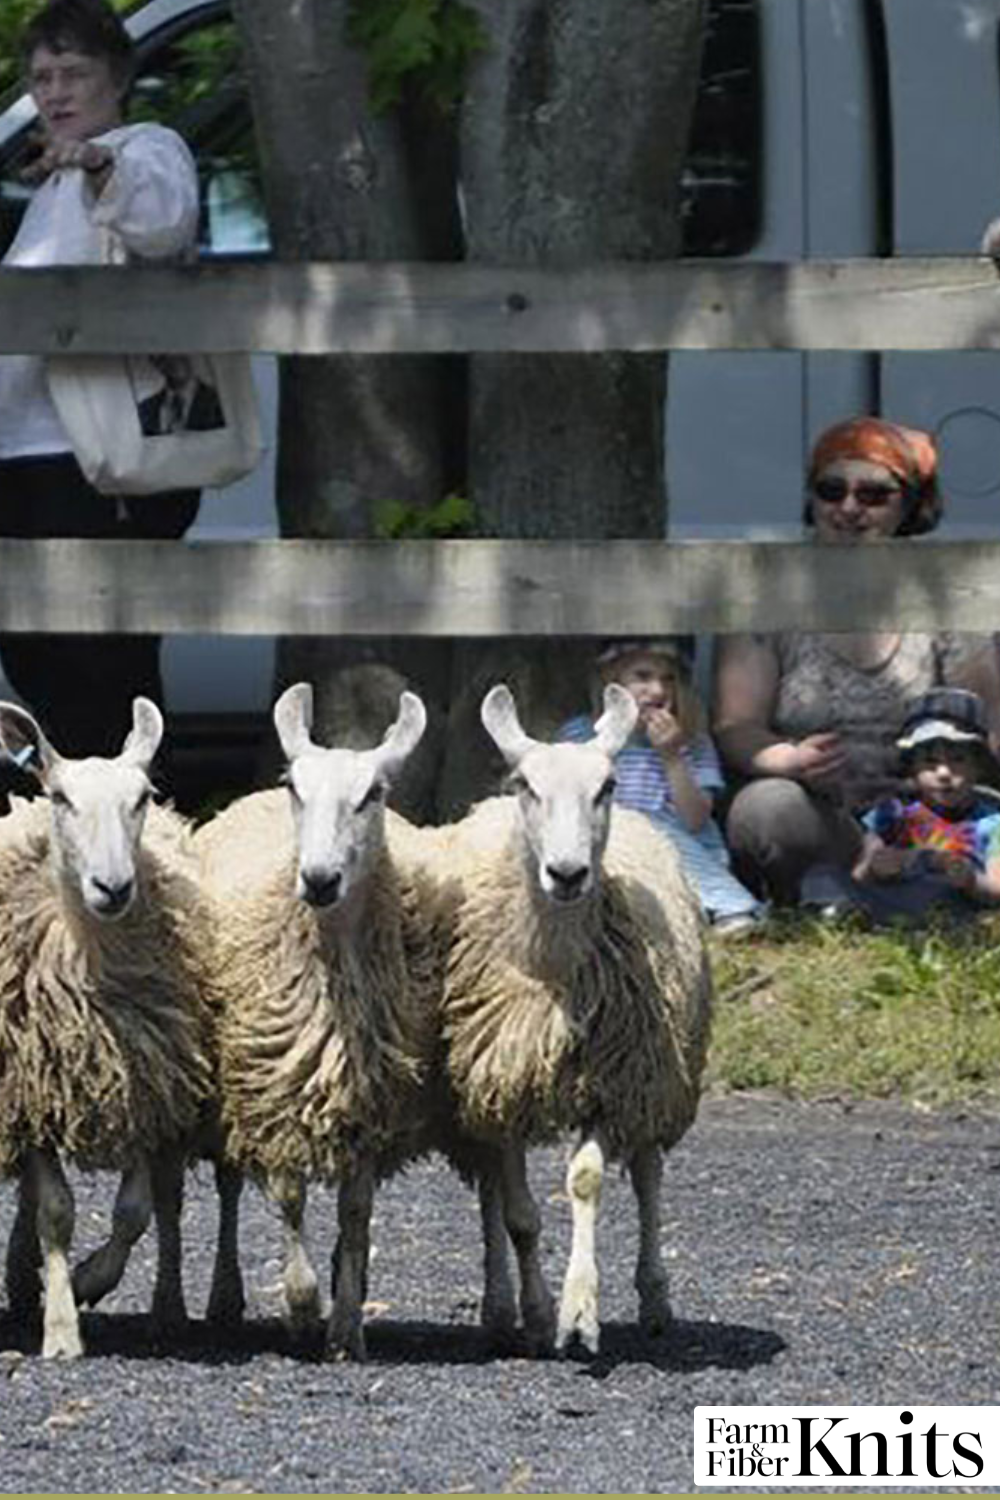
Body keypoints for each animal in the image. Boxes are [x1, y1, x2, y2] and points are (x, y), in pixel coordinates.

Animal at [0, 698, 213, 1358]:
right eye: (61, 797)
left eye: (142, 797)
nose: (113, 887)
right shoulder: (31, 1085)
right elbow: (57, 1210)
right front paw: (62, 1329)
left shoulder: (145, 1082)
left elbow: (134, 1212)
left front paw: (90, 1278)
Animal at [210, 683, 514, 1360]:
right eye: (295, 786)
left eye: (373, 793)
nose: (320, 880)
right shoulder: (275, 1094)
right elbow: (289, 1197)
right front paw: (301, 1306)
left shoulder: (370, 1102)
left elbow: (355, 1216)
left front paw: (346, 1324)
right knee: (228, 1189)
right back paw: (222, 1299)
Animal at [440, 682, 713, 1354]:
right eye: (526, 785)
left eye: (606, 786)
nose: (567, 874)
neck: (553, 974)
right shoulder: (499, 1083)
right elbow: (517, 1213)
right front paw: (535, 1315)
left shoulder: (612, 1086)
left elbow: (586, 1182)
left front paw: (578, 1311)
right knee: (492, 1192)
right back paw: (497, 1307)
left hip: (658, 1076)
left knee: (647, 1176)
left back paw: (655, 1300)